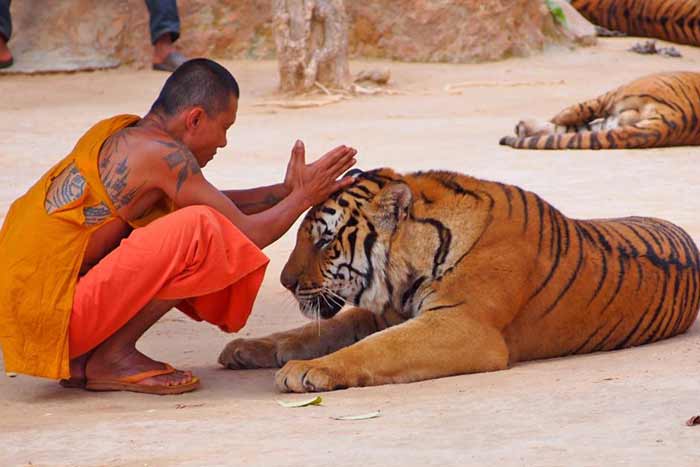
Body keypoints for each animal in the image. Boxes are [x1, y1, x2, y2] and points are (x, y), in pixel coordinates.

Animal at [218, 168, 700, 392]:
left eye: (324, 240)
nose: (285, 281)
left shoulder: (461, 324)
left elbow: (374, 348)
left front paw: (308, 370)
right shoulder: (383, 315)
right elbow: (311, 331)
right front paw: (247, 348)